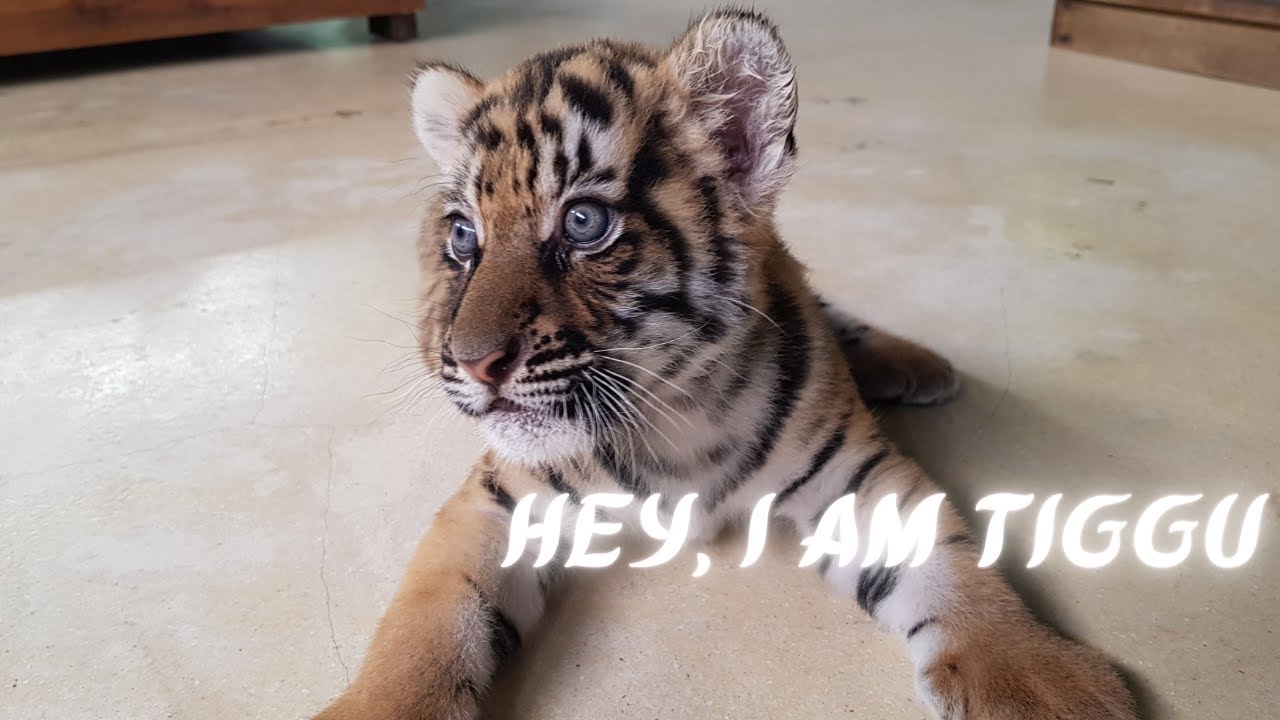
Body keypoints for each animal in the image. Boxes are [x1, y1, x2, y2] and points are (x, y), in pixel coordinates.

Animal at [312, 8, 1136, 720]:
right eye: (462, 237)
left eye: (583, 222)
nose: (468, 361)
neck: (673, 410)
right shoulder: (499, 499)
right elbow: (426, 621)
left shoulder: (853, 473)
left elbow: (956, 570)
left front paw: (1044, 684)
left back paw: (919, 366)